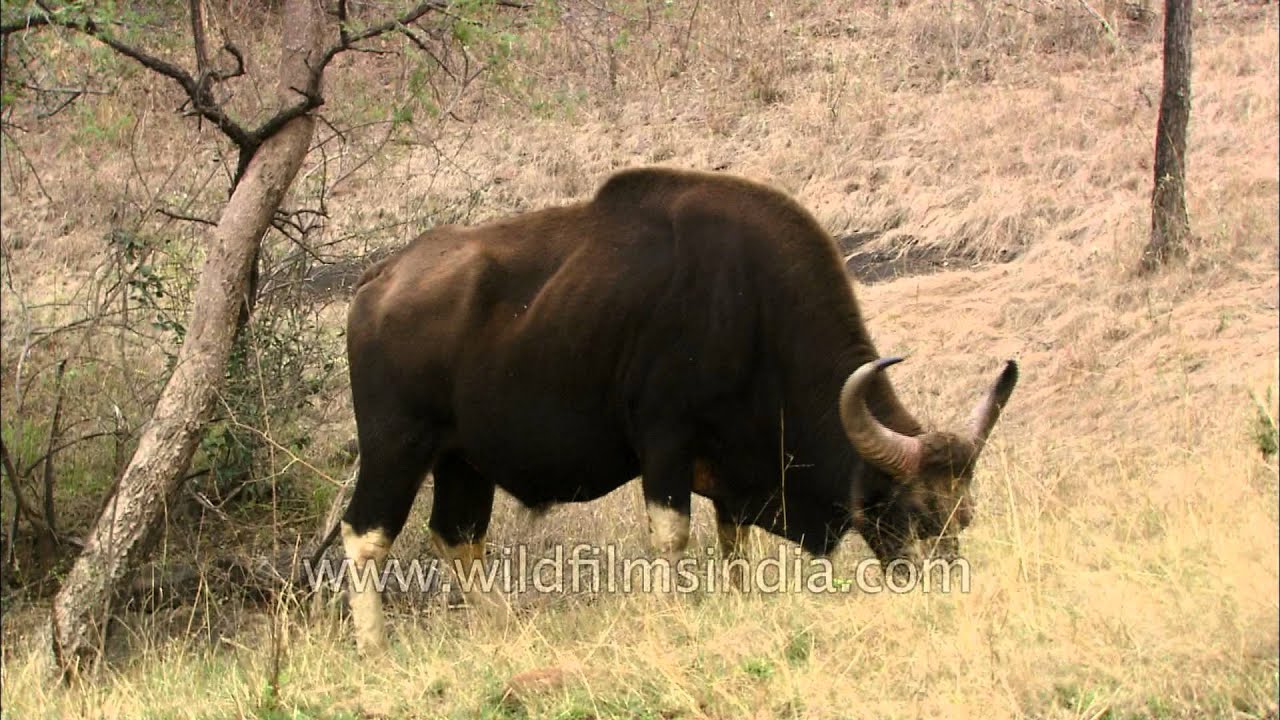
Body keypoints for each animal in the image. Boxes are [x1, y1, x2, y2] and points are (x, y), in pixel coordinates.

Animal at [340, 166, 1018, 653]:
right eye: (916, 513)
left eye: (964, 514)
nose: (946, 585)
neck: (749, 308)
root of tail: (379, 280)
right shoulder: (665, 440)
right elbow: (672, 534)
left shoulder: (733, 465)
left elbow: (734, 540)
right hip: (396, 444)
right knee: (366, 533)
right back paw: (374, 646)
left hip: (462, 460)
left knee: (456, 536)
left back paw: (499, 623)